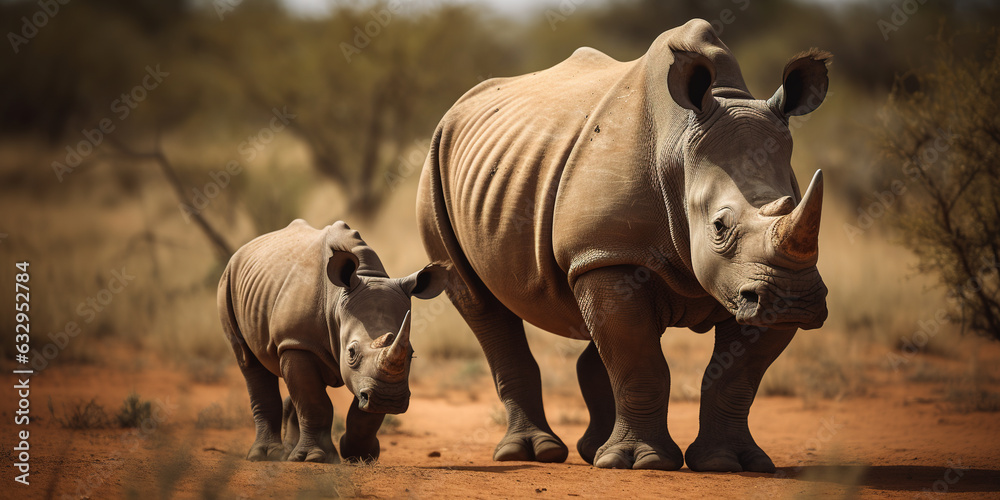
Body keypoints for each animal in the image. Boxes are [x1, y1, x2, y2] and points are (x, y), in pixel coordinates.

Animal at [218, 219, 447, 463]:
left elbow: (362, 413)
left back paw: (288, 453)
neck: (337, 302)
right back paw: (266, 455)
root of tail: (242, 250)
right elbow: (314, 402)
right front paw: (315, 457)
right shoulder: (297, 342)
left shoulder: (367, 378)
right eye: (351, 352)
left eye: (412, 354)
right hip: (227, 281)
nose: (388, 399)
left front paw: (360, 455)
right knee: (248, 361)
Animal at [416, 19, 829, 472]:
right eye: (719, 227)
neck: (679, 151)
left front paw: (732, 462)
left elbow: (736, 378)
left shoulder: (752, 281)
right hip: (435, 161)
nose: (794, 301)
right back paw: (534, 453)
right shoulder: (607, 254)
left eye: (795, 200)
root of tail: (461, 105)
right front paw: (642, 462)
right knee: (479, 302)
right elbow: (639, 363)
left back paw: (592, 450)